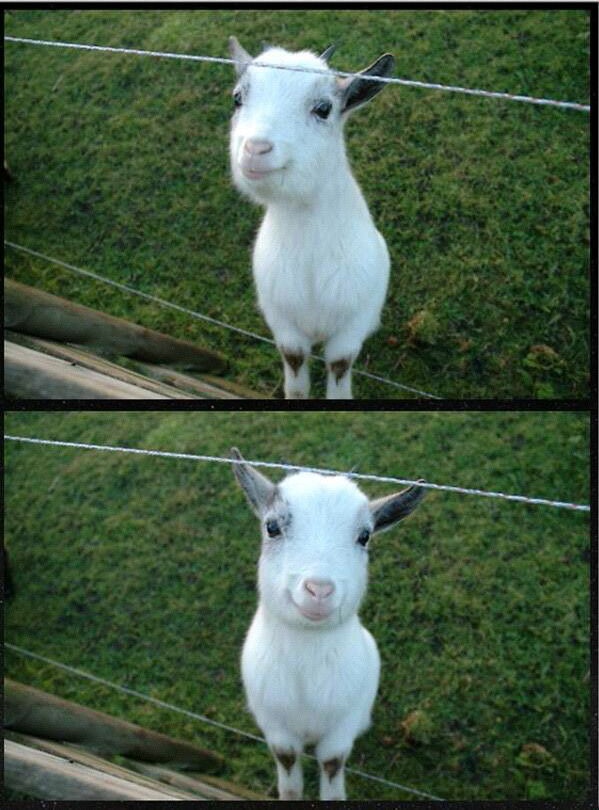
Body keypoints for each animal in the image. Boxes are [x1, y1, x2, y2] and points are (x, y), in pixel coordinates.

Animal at [229, 38, 394, 399]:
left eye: (323, 108)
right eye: (237, 98)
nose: (255, 149)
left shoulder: (352, 324)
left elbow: (340, 364)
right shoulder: (282, 320)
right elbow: (294, 360)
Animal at [231, 448, 426, 800]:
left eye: (365, 536)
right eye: (272, 527)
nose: (319, 590)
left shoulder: (341, 726)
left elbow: (332, 763)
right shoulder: (275, 725)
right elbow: (287, 762)